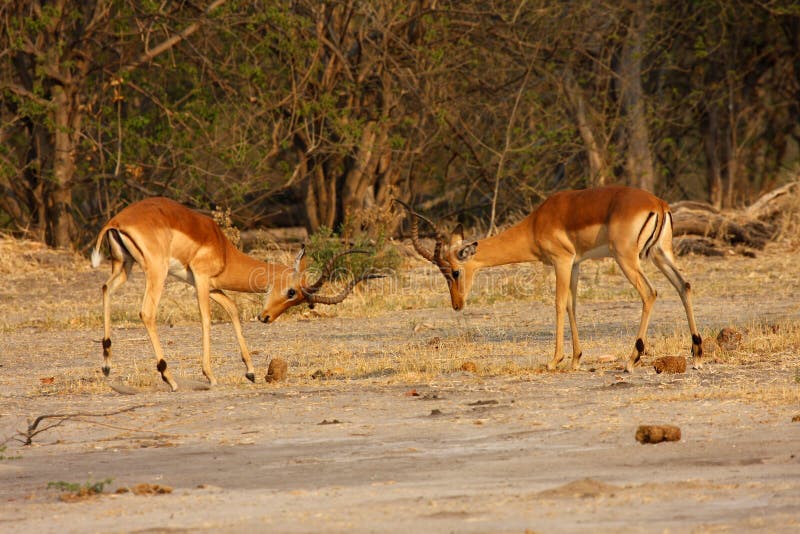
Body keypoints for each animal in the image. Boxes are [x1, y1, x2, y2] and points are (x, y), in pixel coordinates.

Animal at [91, 197, 378, 391]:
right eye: (291, 292)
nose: (266, 318)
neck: (224, 249)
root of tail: (116, 221)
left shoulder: (210, 285)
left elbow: (232, 310)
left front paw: (250, 372)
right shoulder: (202, 280)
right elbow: (207, 320)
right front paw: (210, 375)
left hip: (124, 266)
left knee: (105, 289)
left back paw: (106, 365)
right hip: (156, 272)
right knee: (146, 312)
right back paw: (169, 377)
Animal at [399, 185, 703, 373]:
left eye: (455, 271)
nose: (457, 304)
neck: (536, 223)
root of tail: (658, 204)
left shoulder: (561, 261)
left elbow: (557, 304)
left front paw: (554, 361)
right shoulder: (576, 263)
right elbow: (572, 305)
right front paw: (576, 360)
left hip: (627, 258)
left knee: (649, 293)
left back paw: (631, 360)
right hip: (660, 253)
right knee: (684, 286)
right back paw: (697, 354)